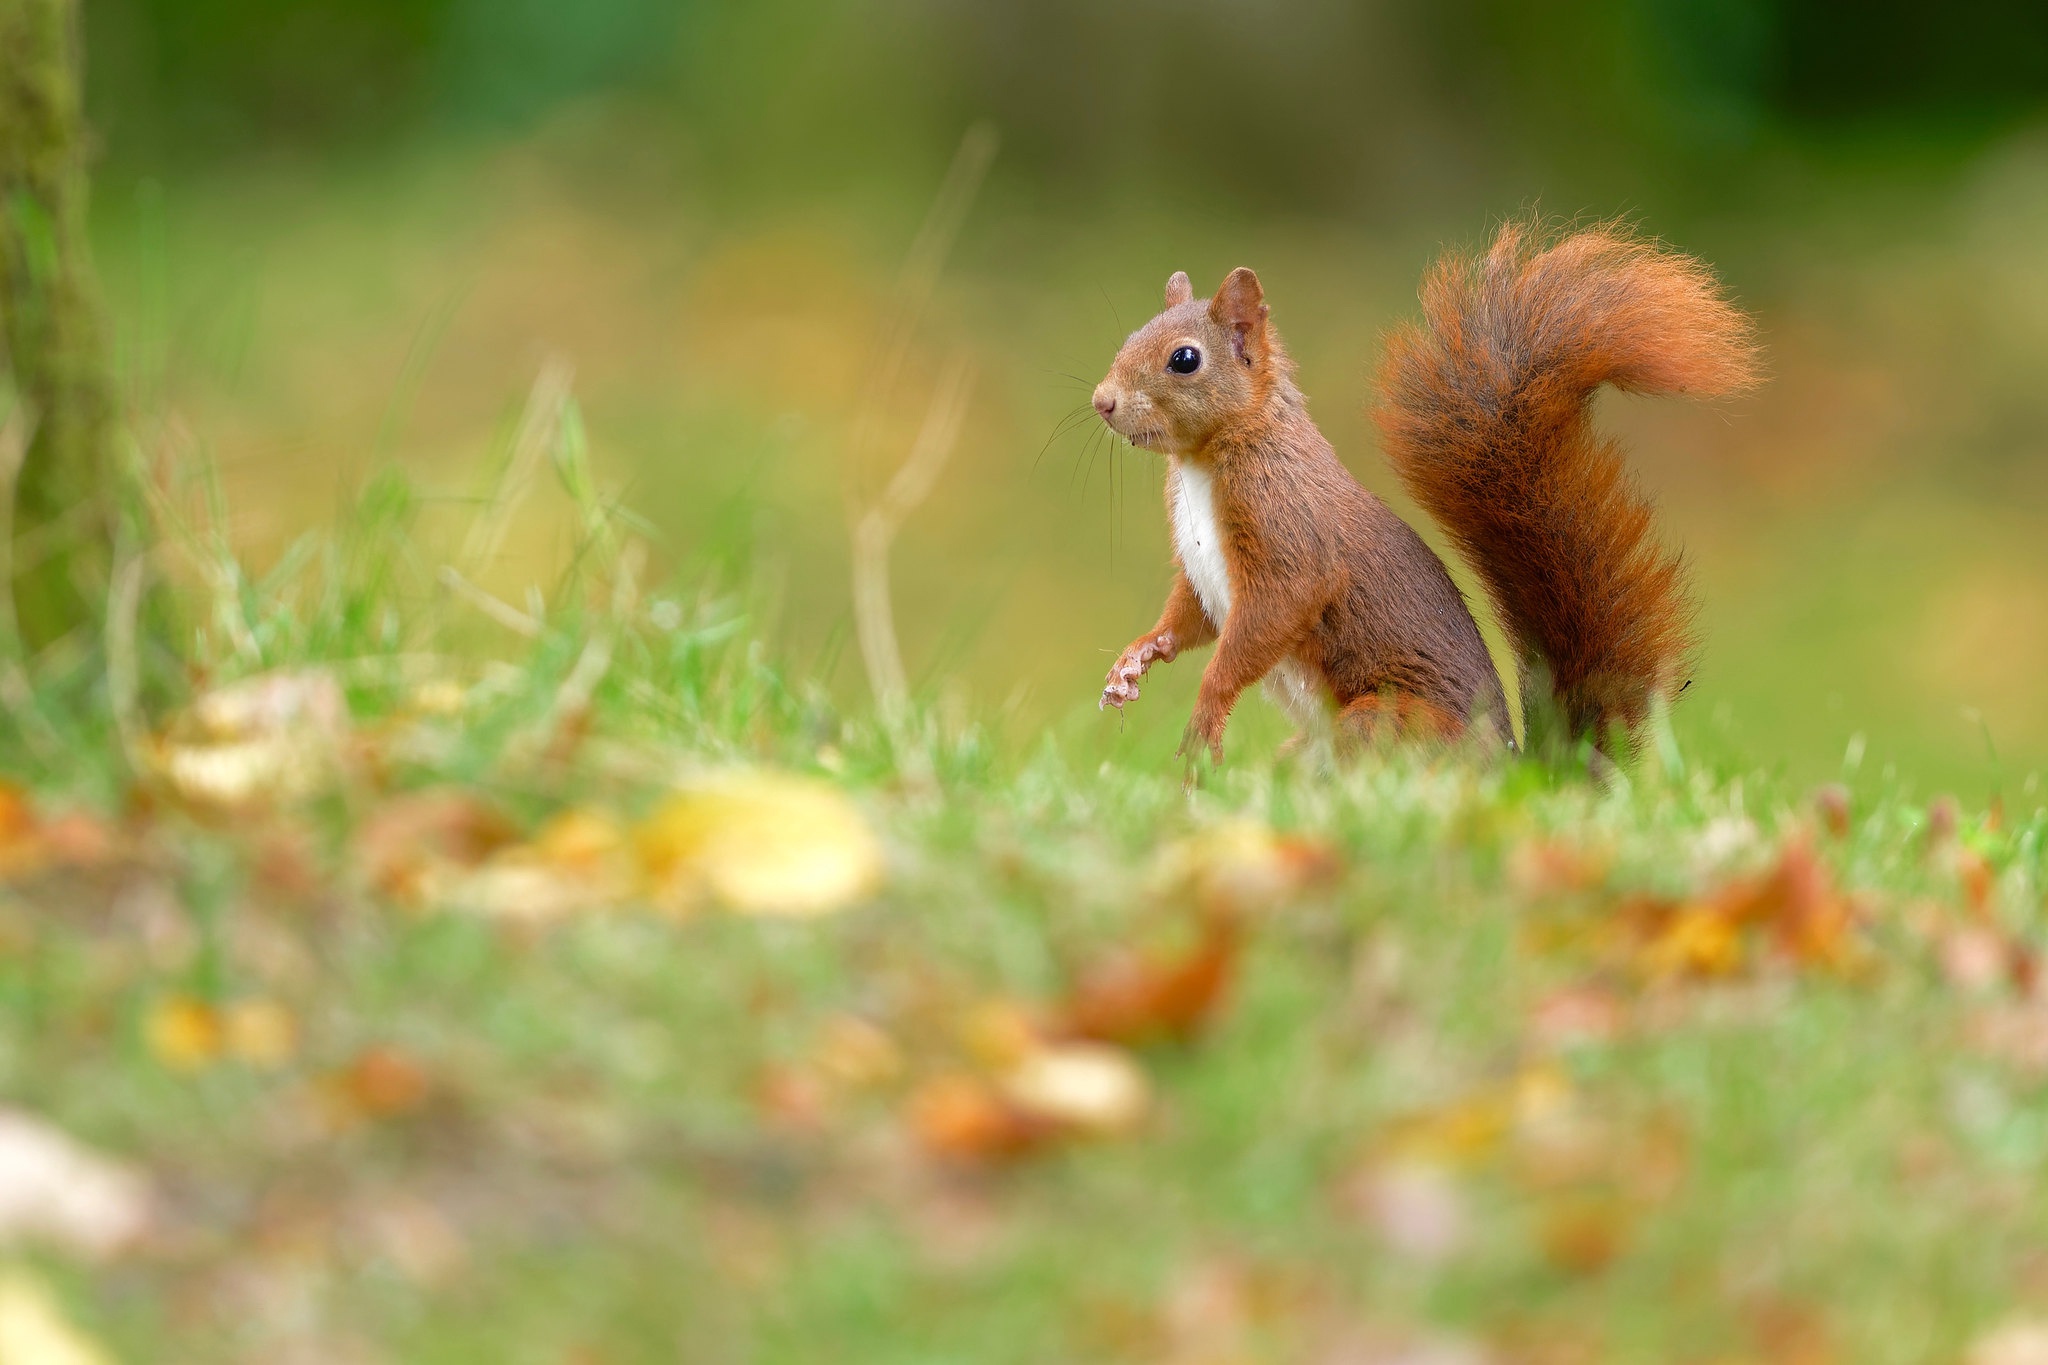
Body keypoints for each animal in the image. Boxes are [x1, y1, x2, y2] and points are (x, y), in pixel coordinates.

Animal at [1091, 219, 1759, 762]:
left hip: (1380, 721)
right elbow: (1189, 617)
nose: (1102, 402)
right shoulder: (1202, 570)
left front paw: (1205, 714)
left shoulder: (1287, 533)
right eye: (1130, 336)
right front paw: (1136, 659)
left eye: (1185, 359)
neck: (1204, 463)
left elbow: (1270, 616)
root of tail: (1516, 774)